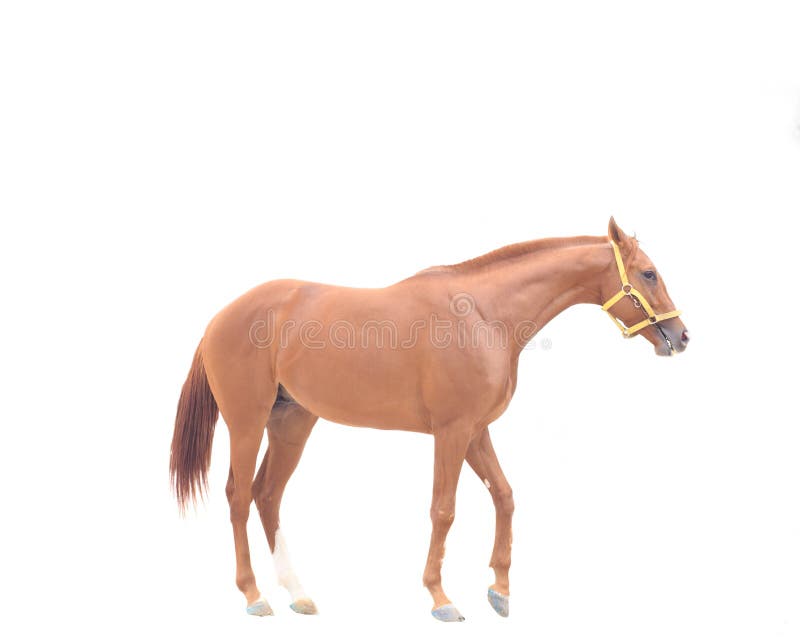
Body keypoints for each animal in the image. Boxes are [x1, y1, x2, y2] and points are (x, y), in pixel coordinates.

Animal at [169, 217, 689, 621]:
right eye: (649, 273)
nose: (681, 336)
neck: (484, 315)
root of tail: (221, 317)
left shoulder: (477, 431)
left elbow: (504, 496)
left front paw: (499, 590)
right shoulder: (451, 432)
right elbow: (444, 509)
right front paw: (441, 598)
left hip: (293, 424)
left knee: (268, 494)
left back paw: (298, 594)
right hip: (247, 423)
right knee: (238, 497)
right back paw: (254, 596)